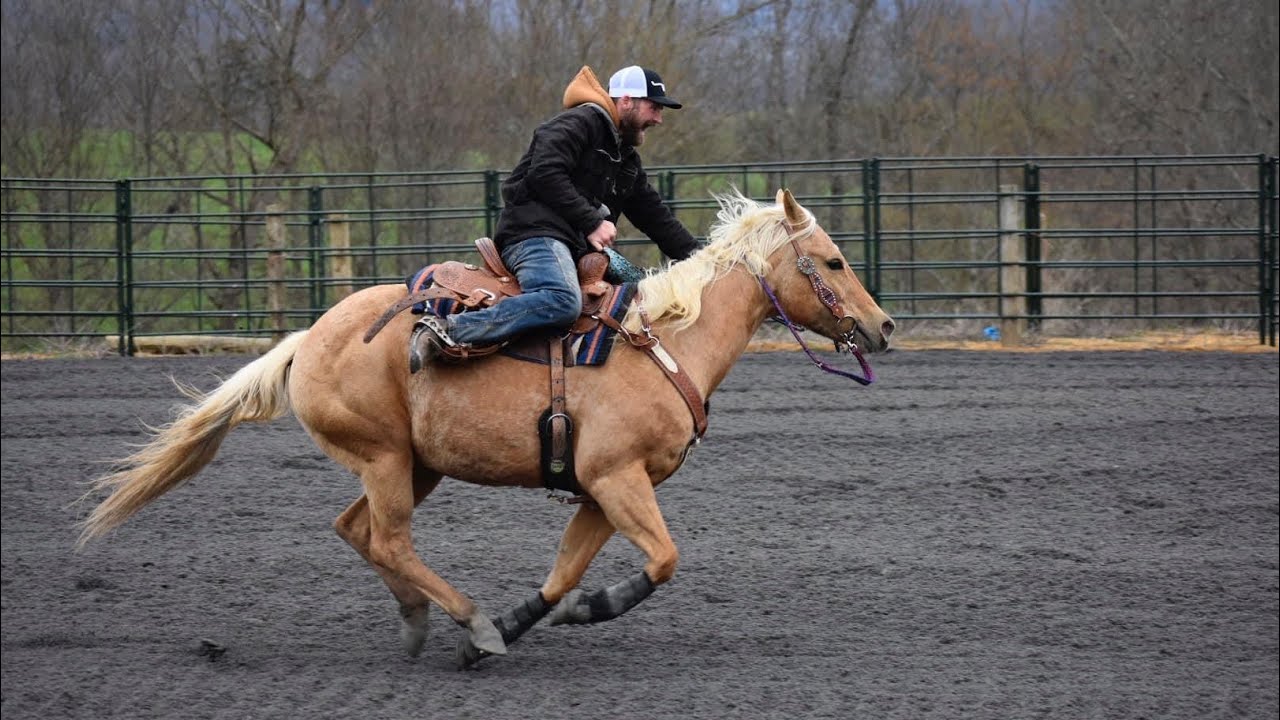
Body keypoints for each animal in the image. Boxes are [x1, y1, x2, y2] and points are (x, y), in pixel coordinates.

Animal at [78, 188, 896, 668]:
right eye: (833, 260)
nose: (883, 326)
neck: (663, 339)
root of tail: (308, 338)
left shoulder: (601, 491)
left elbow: (565, 570)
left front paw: (543, 613)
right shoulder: (617, 478)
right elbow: (663, 559)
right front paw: (569, 614)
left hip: (414, 464)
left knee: (356, 530)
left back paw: (421, 620)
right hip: (384, 457)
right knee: (388, 539)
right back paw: (466, 620)